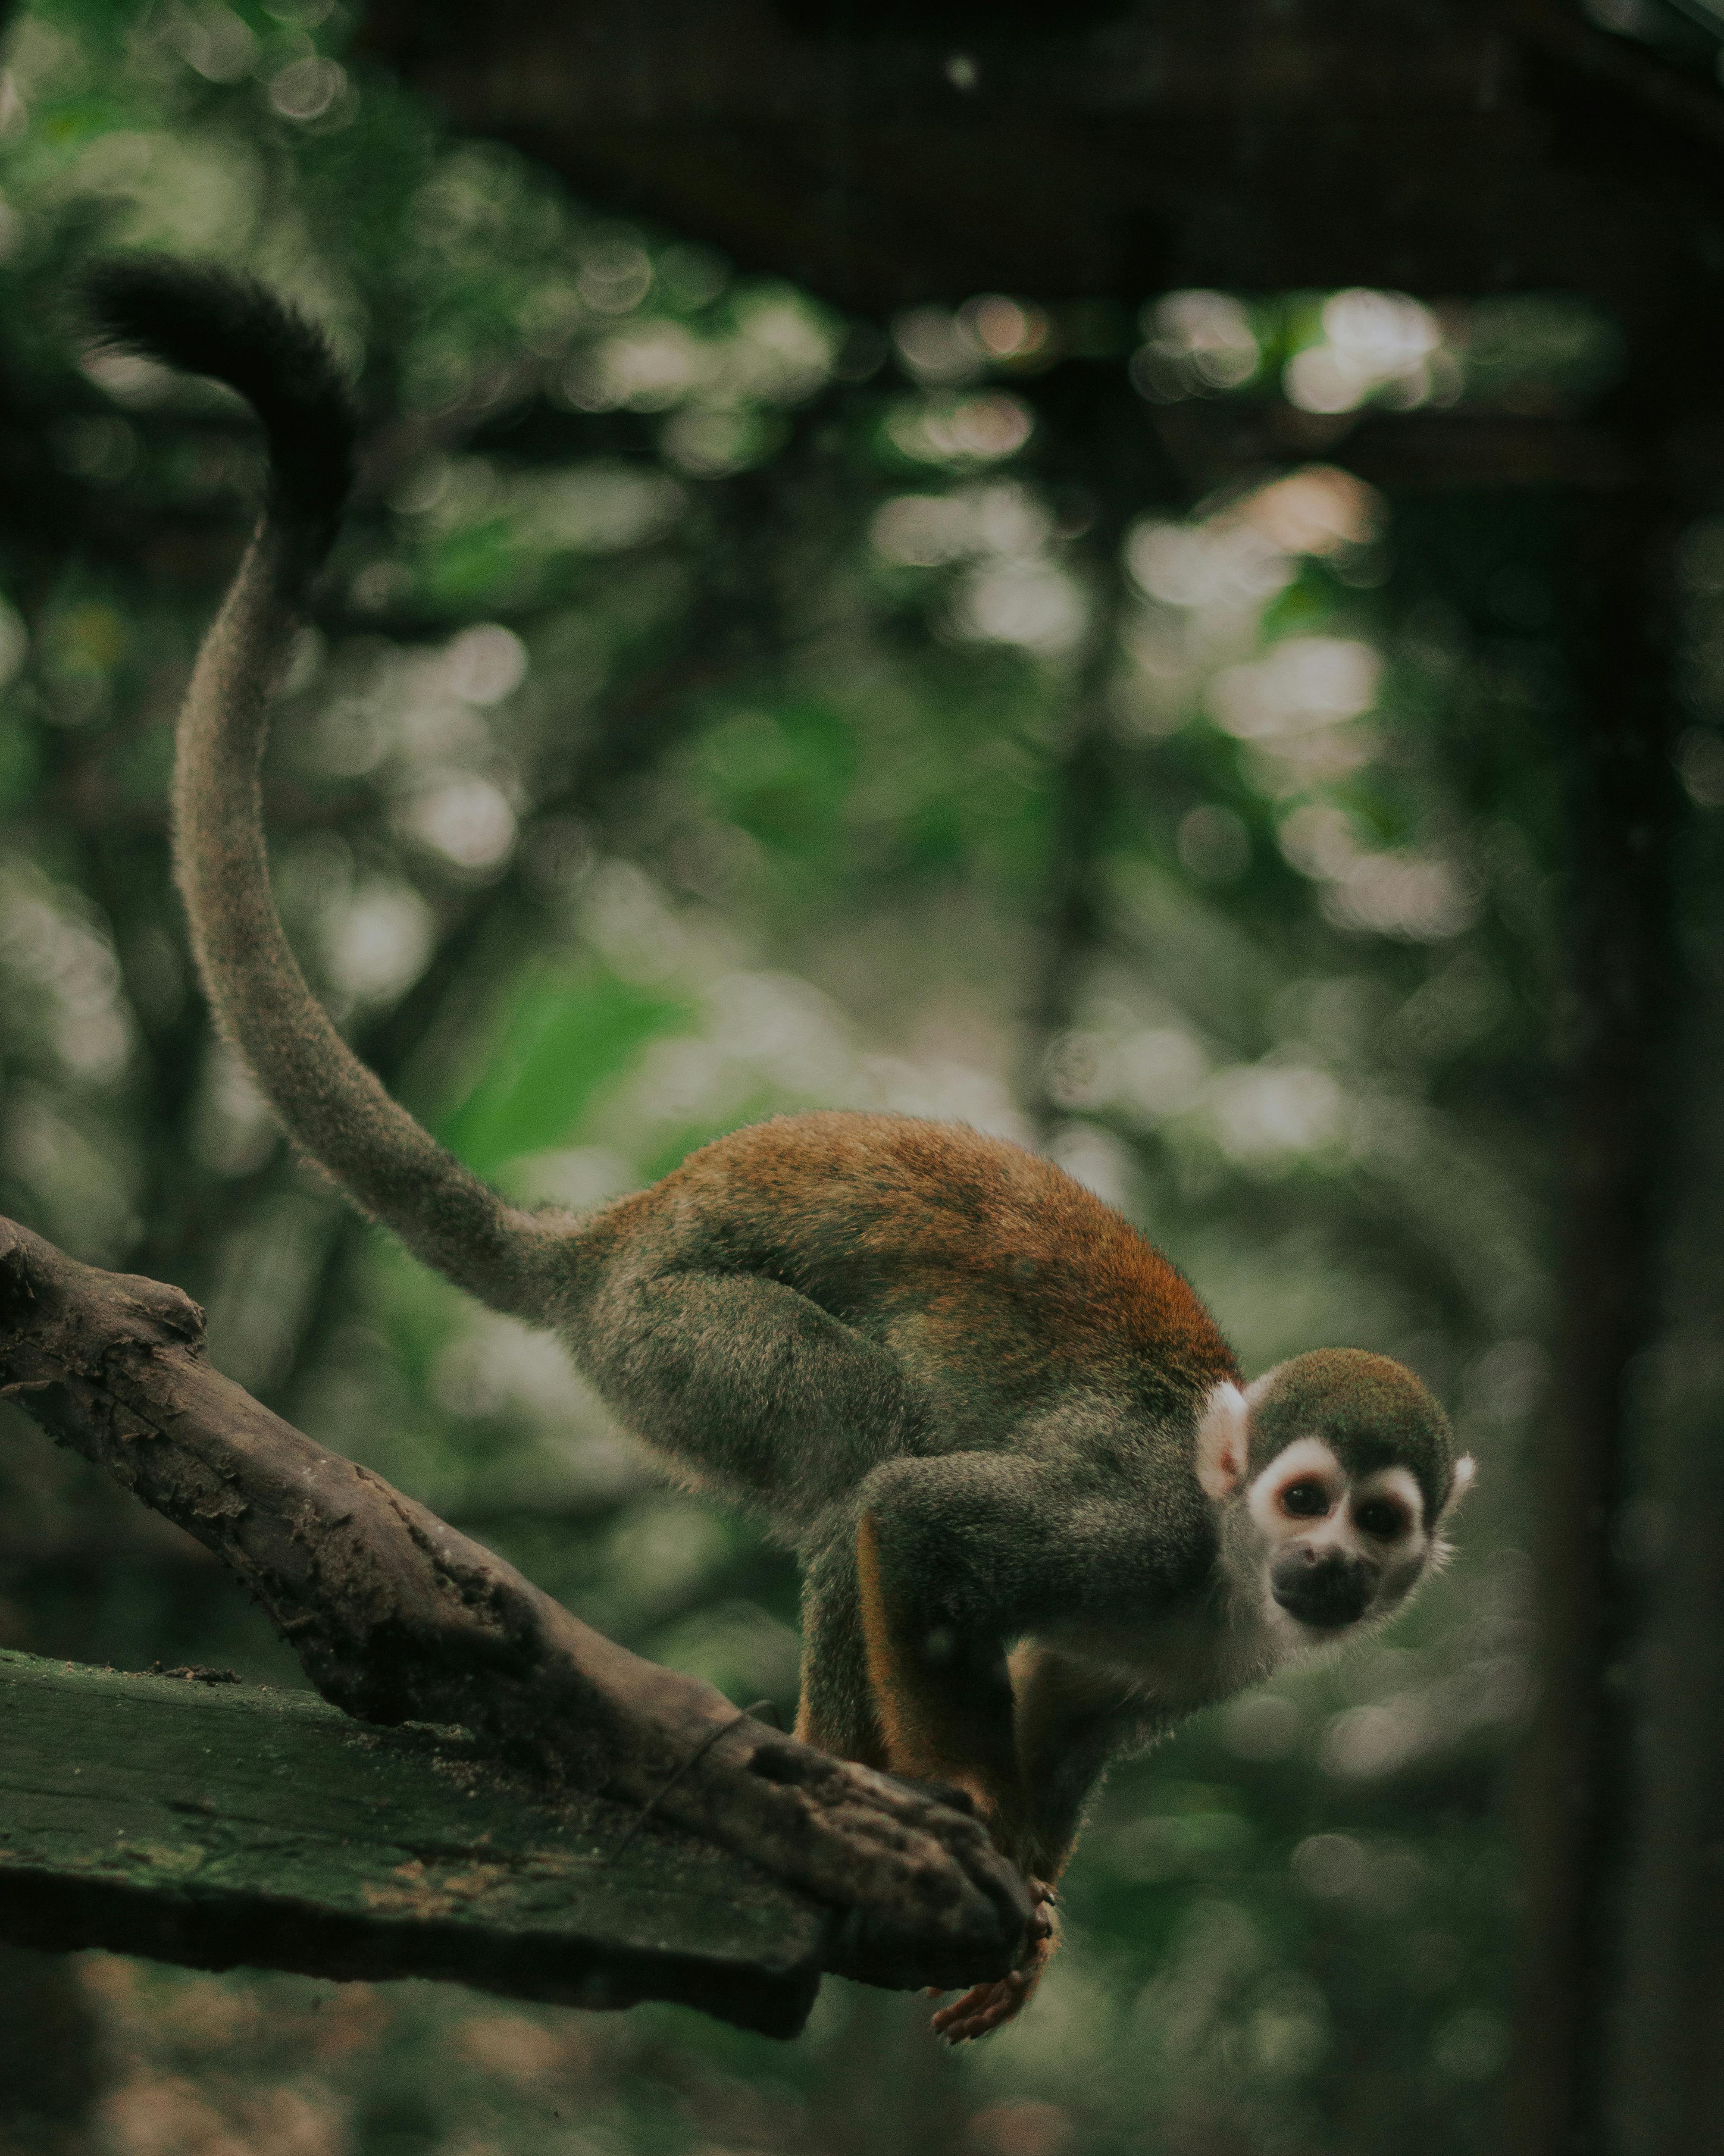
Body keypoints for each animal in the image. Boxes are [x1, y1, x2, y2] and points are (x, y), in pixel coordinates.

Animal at [77, 260, 1476, 2043]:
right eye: (1301, 1496)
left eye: (1374, 1523)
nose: (1323, 1562)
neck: (1221, 1575)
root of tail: (612, 1231)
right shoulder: (1135, 1521)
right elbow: (909, 1516)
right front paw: (972, 1818)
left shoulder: (1204, 1659)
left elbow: (1073, 1705)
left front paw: (1035, 1907)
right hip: (681, 1336)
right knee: (850, 1447)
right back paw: (840, 1783)